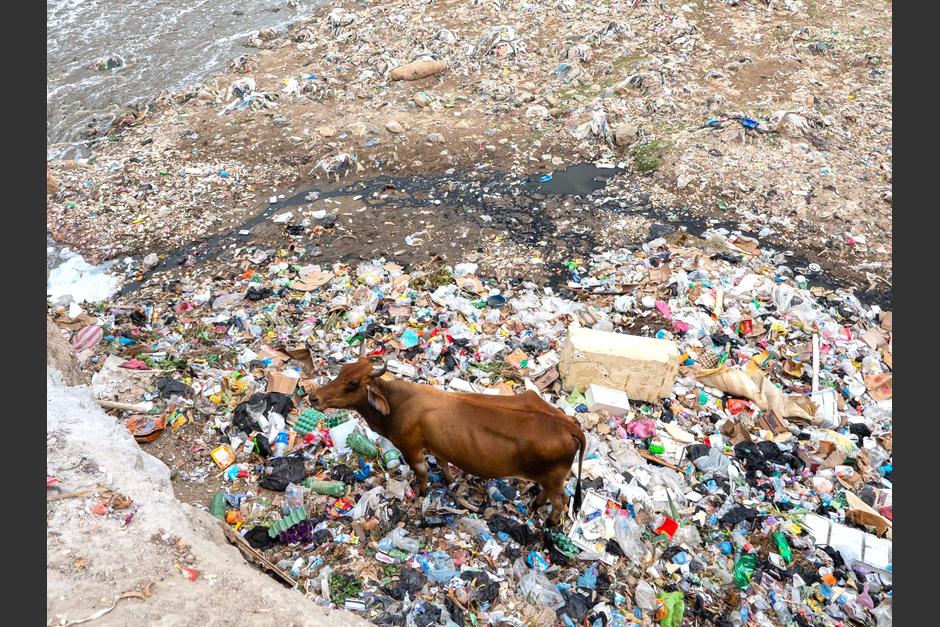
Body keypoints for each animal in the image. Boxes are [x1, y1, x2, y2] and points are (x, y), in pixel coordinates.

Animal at [308, 356, 586, 525]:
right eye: (342, 370)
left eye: (353, 383)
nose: (314, 398)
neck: (398, 403)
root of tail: (569, 424)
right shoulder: (437, 445)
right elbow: (442, 462)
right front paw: (450, 480)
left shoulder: (410, 447)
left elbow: (421, 473)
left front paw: (421, 493)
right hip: (549, 478)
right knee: (549, 494)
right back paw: (534, 505)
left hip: (553, 479)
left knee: (560, 501)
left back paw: (550, 522)